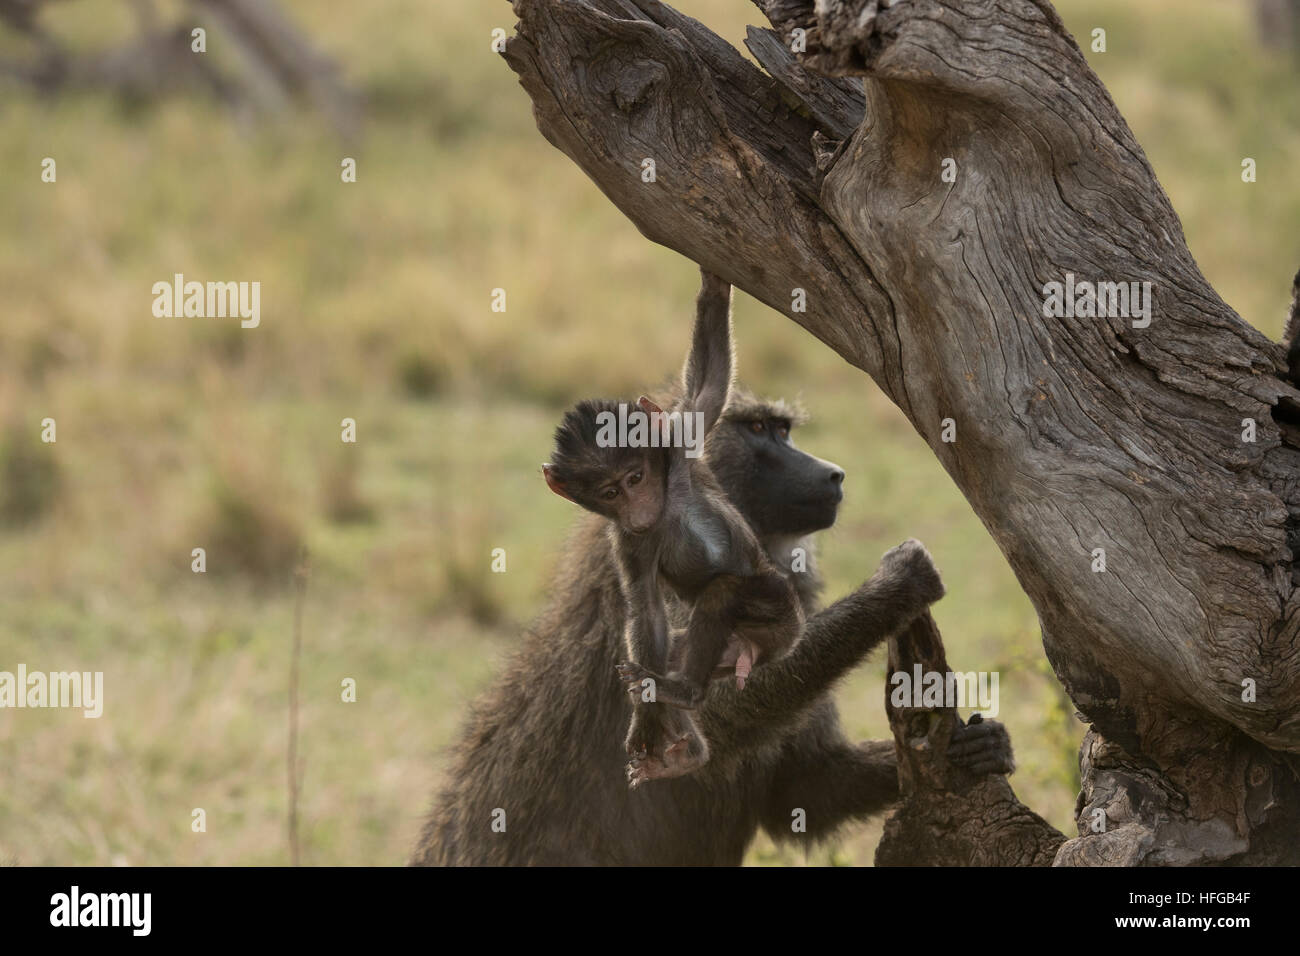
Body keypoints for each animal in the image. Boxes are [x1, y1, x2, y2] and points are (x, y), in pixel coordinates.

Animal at [412, 384, 1017, 865]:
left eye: (782, 428)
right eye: (757, 429)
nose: (833, 474)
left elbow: (804, 791)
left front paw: (983, 746)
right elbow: (717, 715)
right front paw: (898, 584)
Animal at [540, 270, 803, 786]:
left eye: (635, 478)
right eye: (610, 492)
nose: (639, 508)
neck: (664, 506)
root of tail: (764, 652)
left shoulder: (679, 442)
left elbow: (708, 389)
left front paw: (715, 286)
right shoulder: (627, 540)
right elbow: (646, 612)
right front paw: (644, 716)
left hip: (781, 613)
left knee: (723, 593)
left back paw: (685, 694)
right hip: (732, 650)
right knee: (673, 647)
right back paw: (682, 746)